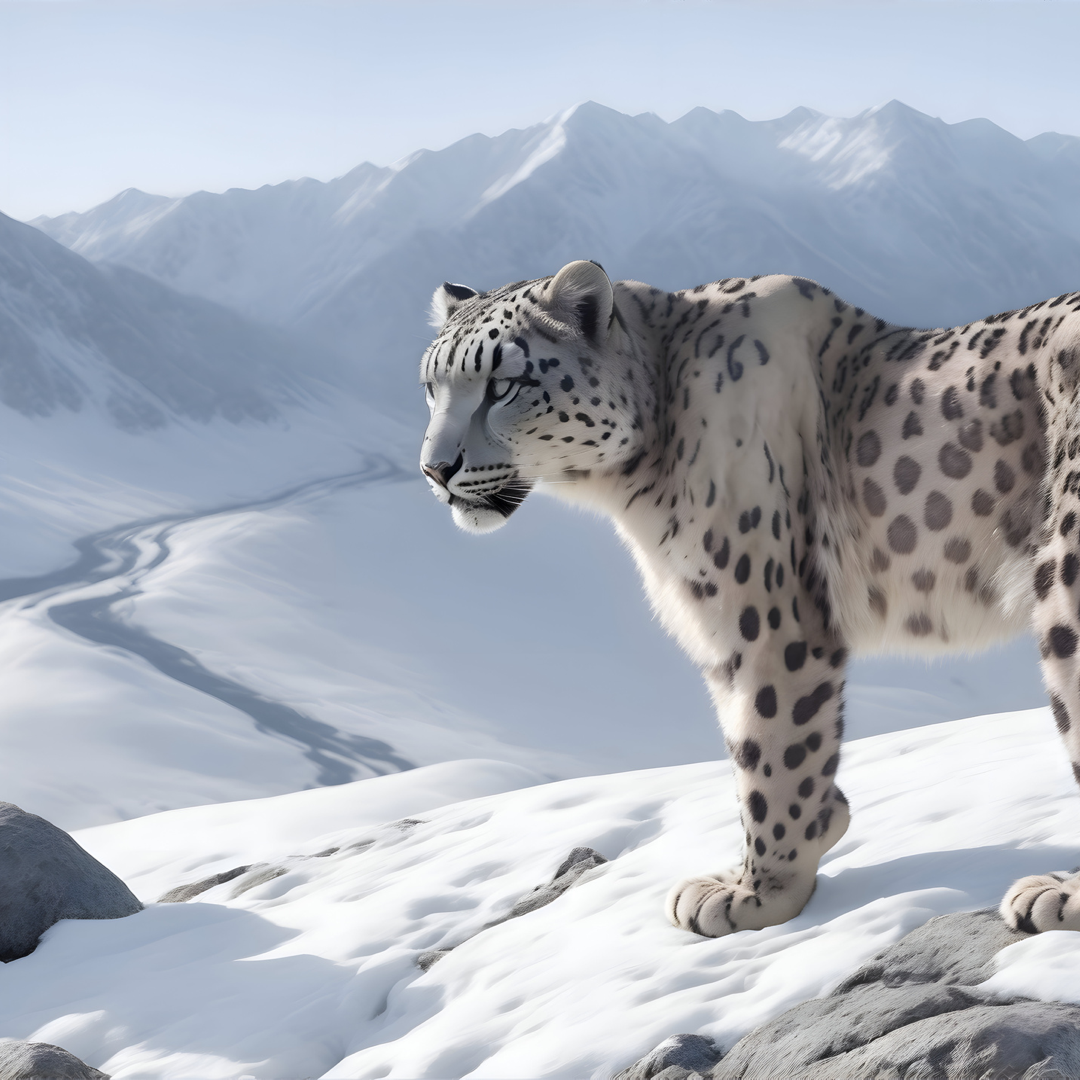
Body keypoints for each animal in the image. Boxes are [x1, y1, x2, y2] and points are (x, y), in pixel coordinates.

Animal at [419, 259, 1080, 937]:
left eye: (503, 384)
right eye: (430, 388)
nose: (435, 468)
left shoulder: (766, 615)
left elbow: (770, 748)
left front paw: (759, 892)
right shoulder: (717, 625)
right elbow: (747, 742)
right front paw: (786, 851)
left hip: (1065, 576)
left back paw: (1054, 894)